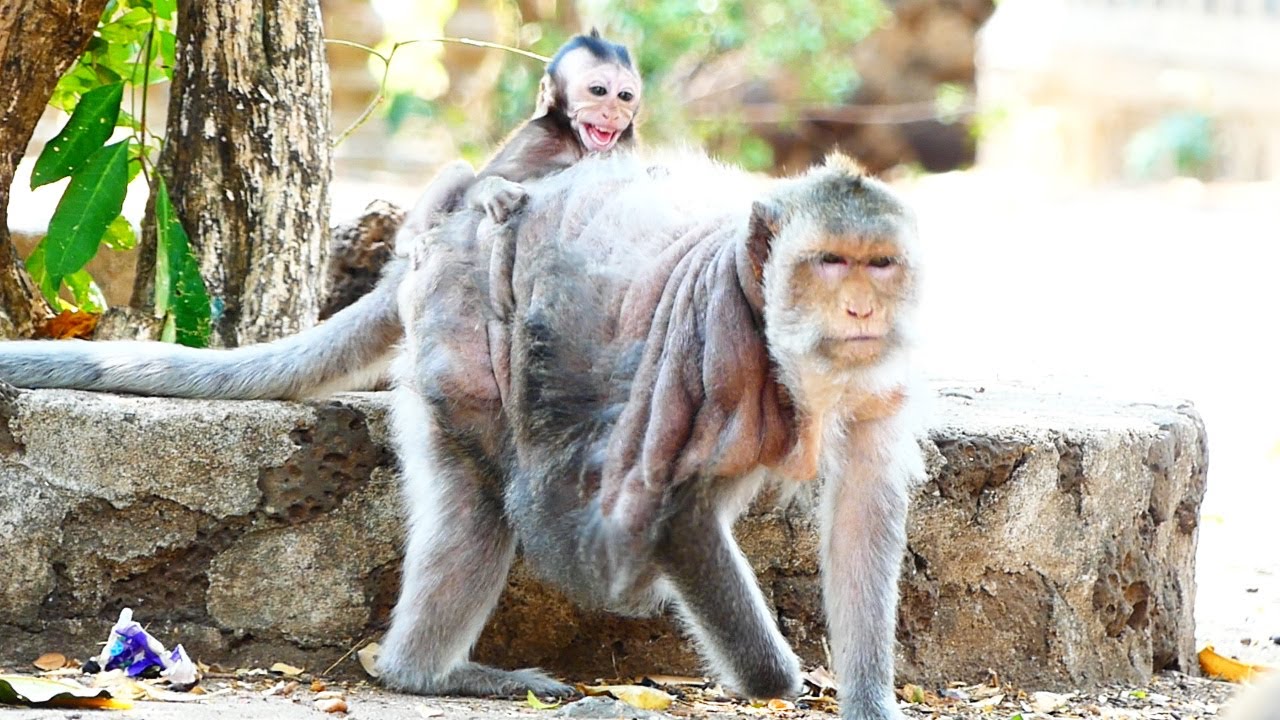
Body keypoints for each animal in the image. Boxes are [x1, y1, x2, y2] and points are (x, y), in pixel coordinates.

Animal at [0, 150, 923, 720]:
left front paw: (867, 699)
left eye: (879, 264)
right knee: (484, 497)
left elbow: (861, 518)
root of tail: (442, 231)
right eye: (830, 262)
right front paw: (778, 679)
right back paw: (429, 674)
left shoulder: (884, 380)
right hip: (462, 332)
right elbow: (673, 513)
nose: (860, 310)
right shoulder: (713, 358)